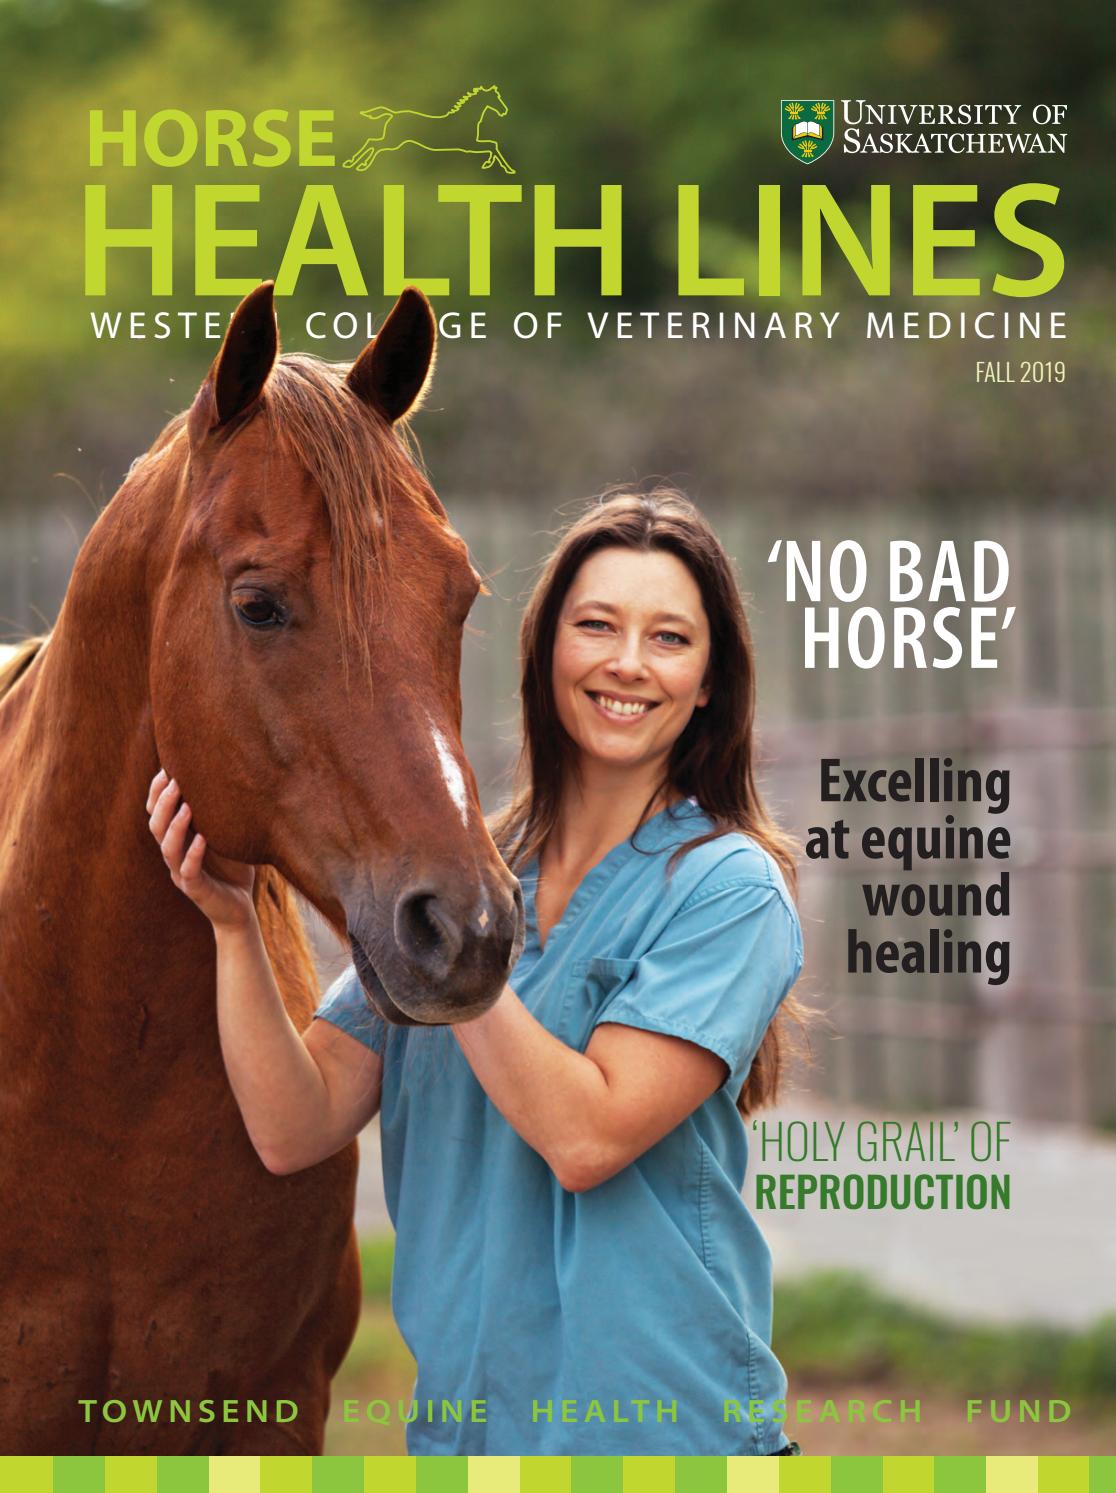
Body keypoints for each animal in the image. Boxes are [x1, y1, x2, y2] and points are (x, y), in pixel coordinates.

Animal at [343, 85, 515, 175]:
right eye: (496, 98)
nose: (505, 111)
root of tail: (394, 113)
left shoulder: (472, 144)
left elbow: (492, 145)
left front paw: (492, 165)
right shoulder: (468, 145)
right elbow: (492, 145)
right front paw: (505, 167)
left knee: (372, 142)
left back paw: (354, 163)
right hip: (393, 142)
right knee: (373, 143)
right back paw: (359, 164)